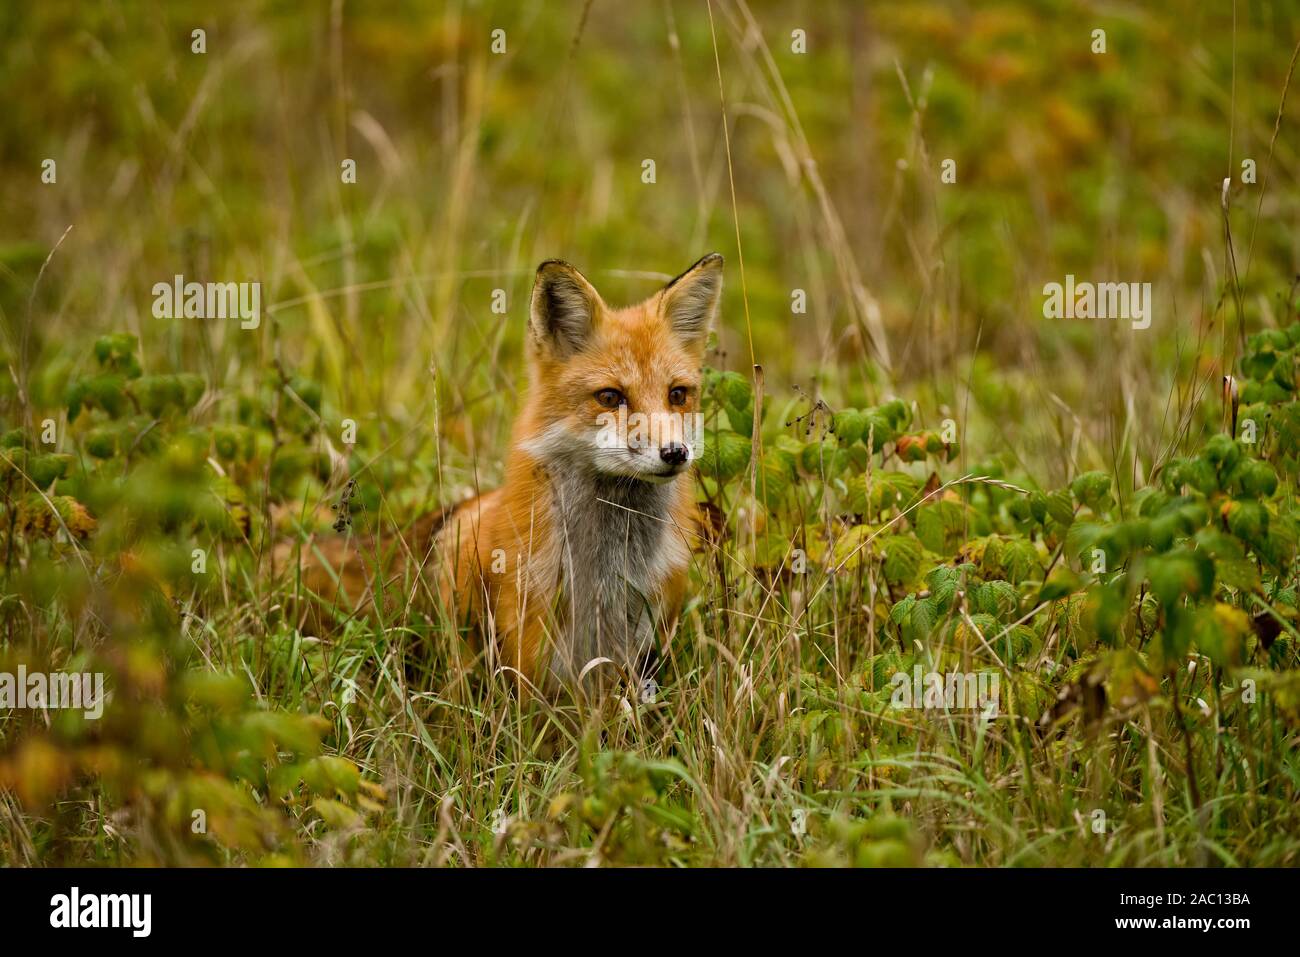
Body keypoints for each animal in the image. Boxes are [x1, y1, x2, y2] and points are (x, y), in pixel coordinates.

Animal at [286, 253, 724, 696]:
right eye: (609, 397)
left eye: (677, 395)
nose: (675, 453)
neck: (607, 575)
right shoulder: (532, 669)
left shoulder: (645, 647)